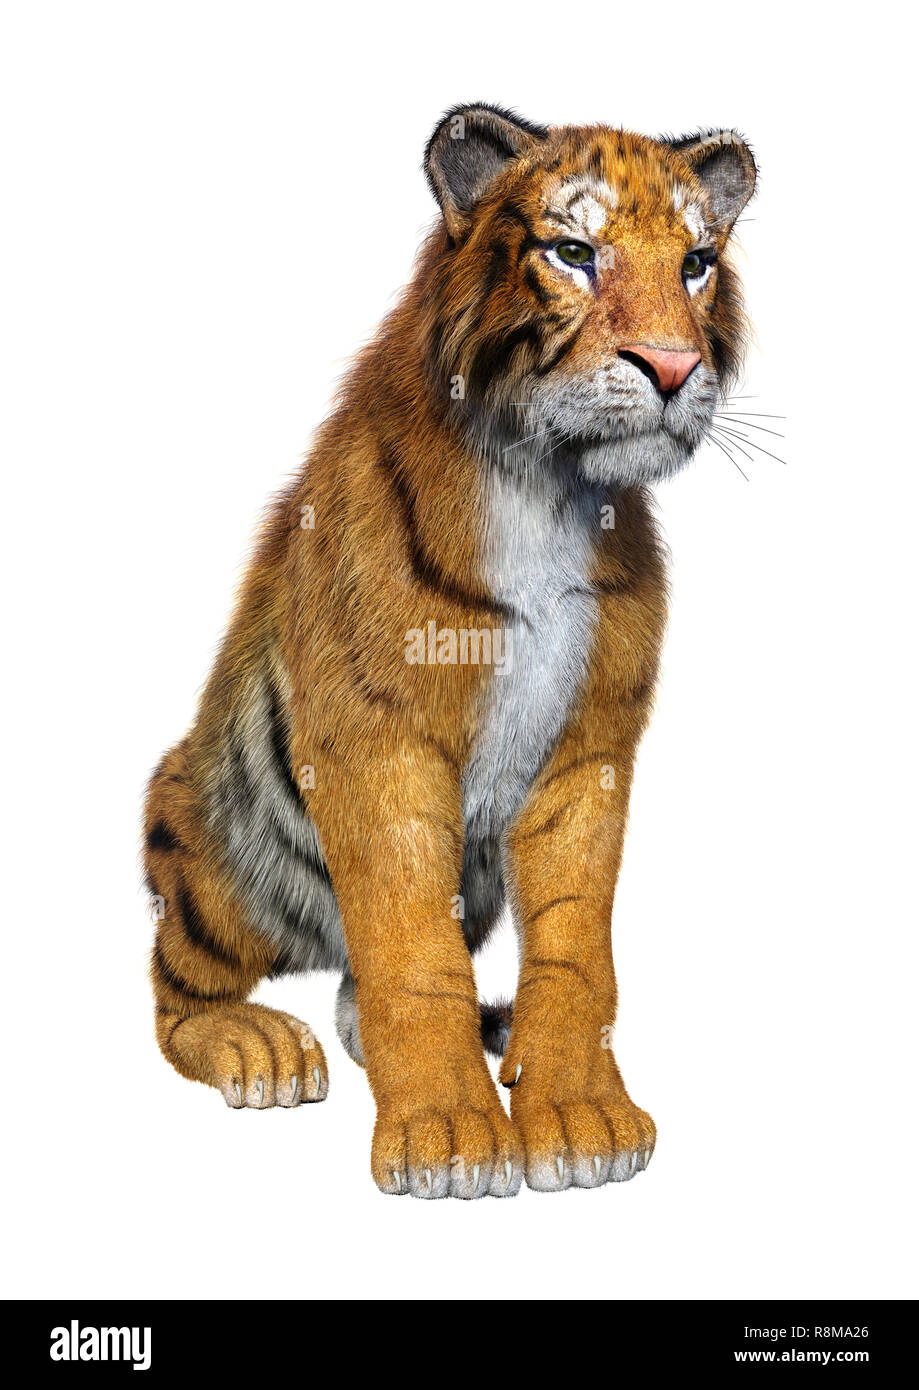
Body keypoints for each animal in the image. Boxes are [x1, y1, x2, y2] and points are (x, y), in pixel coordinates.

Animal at [144, 104, 756, 1198]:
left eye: (694, 263)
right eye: (573, 253)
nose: (673, 368)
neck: (551, 483)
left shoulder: (589, 751)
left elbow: (573, 948)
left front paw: (579, 1116)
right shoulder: (376, 743)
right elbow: (412, 955)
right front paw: (449, 1137)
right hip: (214, 857)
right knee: (181, 990)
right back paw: (258, 1044)